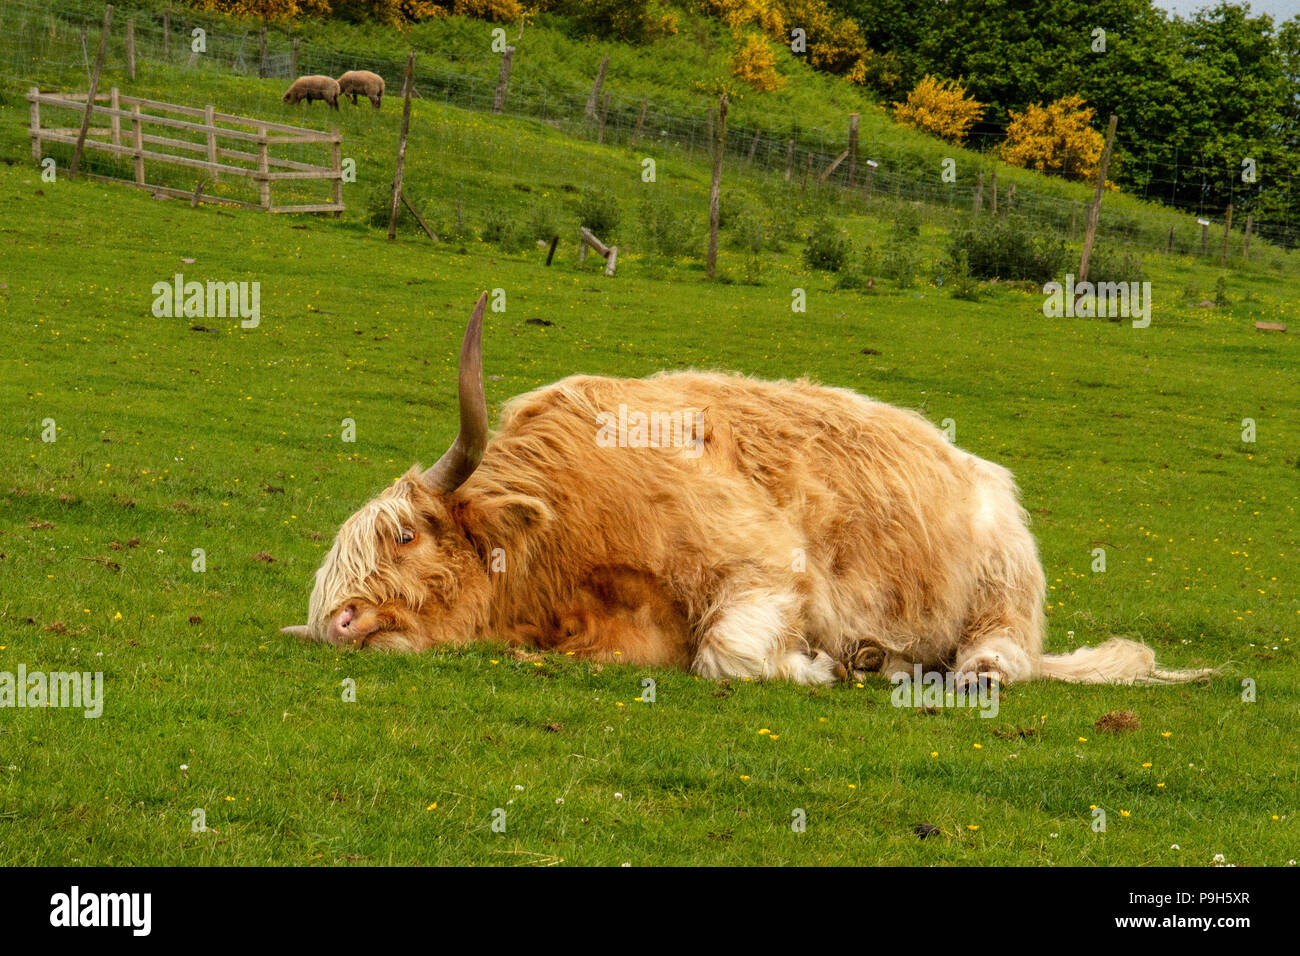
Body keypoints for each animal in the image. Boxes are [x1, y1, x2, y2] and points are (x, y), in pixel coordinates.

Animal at [282, 293, 1212, 688]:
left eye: (406, 535)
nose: (337, 624)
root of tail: (978, 468)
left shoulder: (768, 567)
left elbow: (725, 653)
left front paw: (814, 666)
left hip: (999, 590)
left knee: (1005, 652)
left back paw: (956, 669)